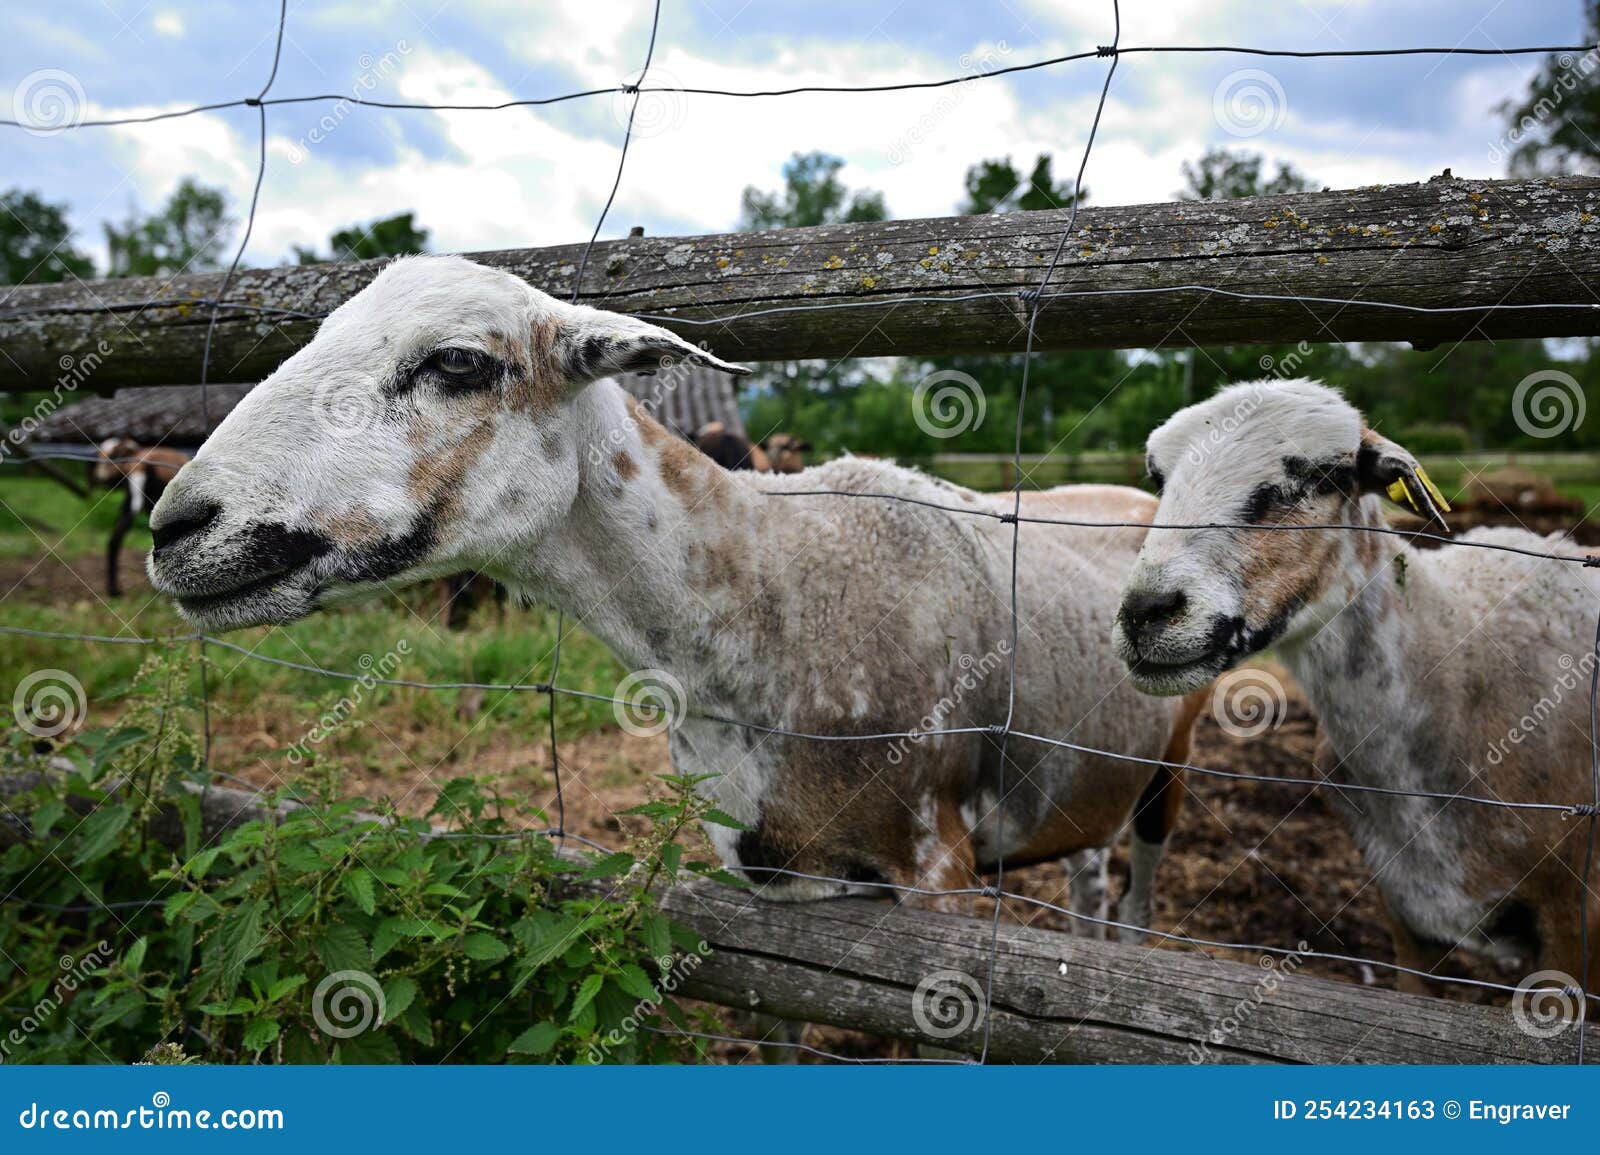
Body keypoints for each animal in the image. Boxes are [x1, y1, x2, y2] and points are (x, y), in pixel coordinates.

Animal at [144, 254, 1203, 931]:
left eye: (457, 362)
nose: (174, 528)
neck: (763, 595)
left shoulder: (936, 865)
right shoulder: (781, 886)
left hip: (1172, 760)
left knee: (1140, 897)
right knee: (1089, 868)